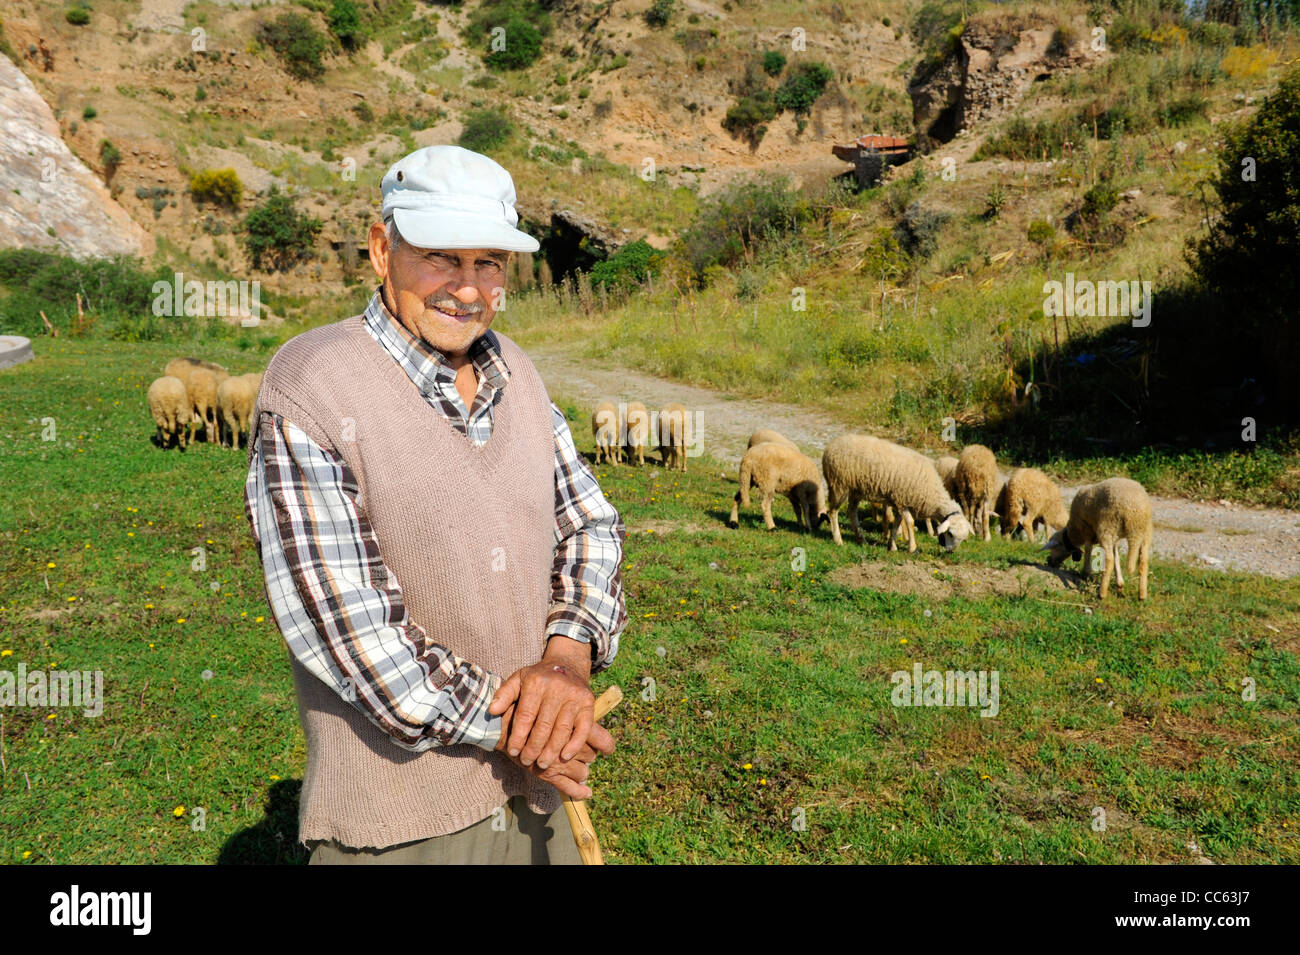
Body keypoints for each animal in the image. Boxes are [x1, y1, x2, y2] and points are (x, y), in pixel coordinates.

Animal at [821, 434, 972, 553]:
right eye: (950, 534)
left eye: (963, 539)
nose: (951, 552)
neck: (930, 491)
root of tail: (829, 446)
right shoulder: (902, 500)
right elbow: (910, 522)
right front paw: (912, 547)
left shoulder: (898, 501)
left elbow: (897, 523)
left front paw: (892, 546)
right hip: (839, 485)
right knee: (832, 512)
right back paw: (838, 540)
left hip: (855, 491)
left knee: (852, 512)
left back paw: (861, 540)